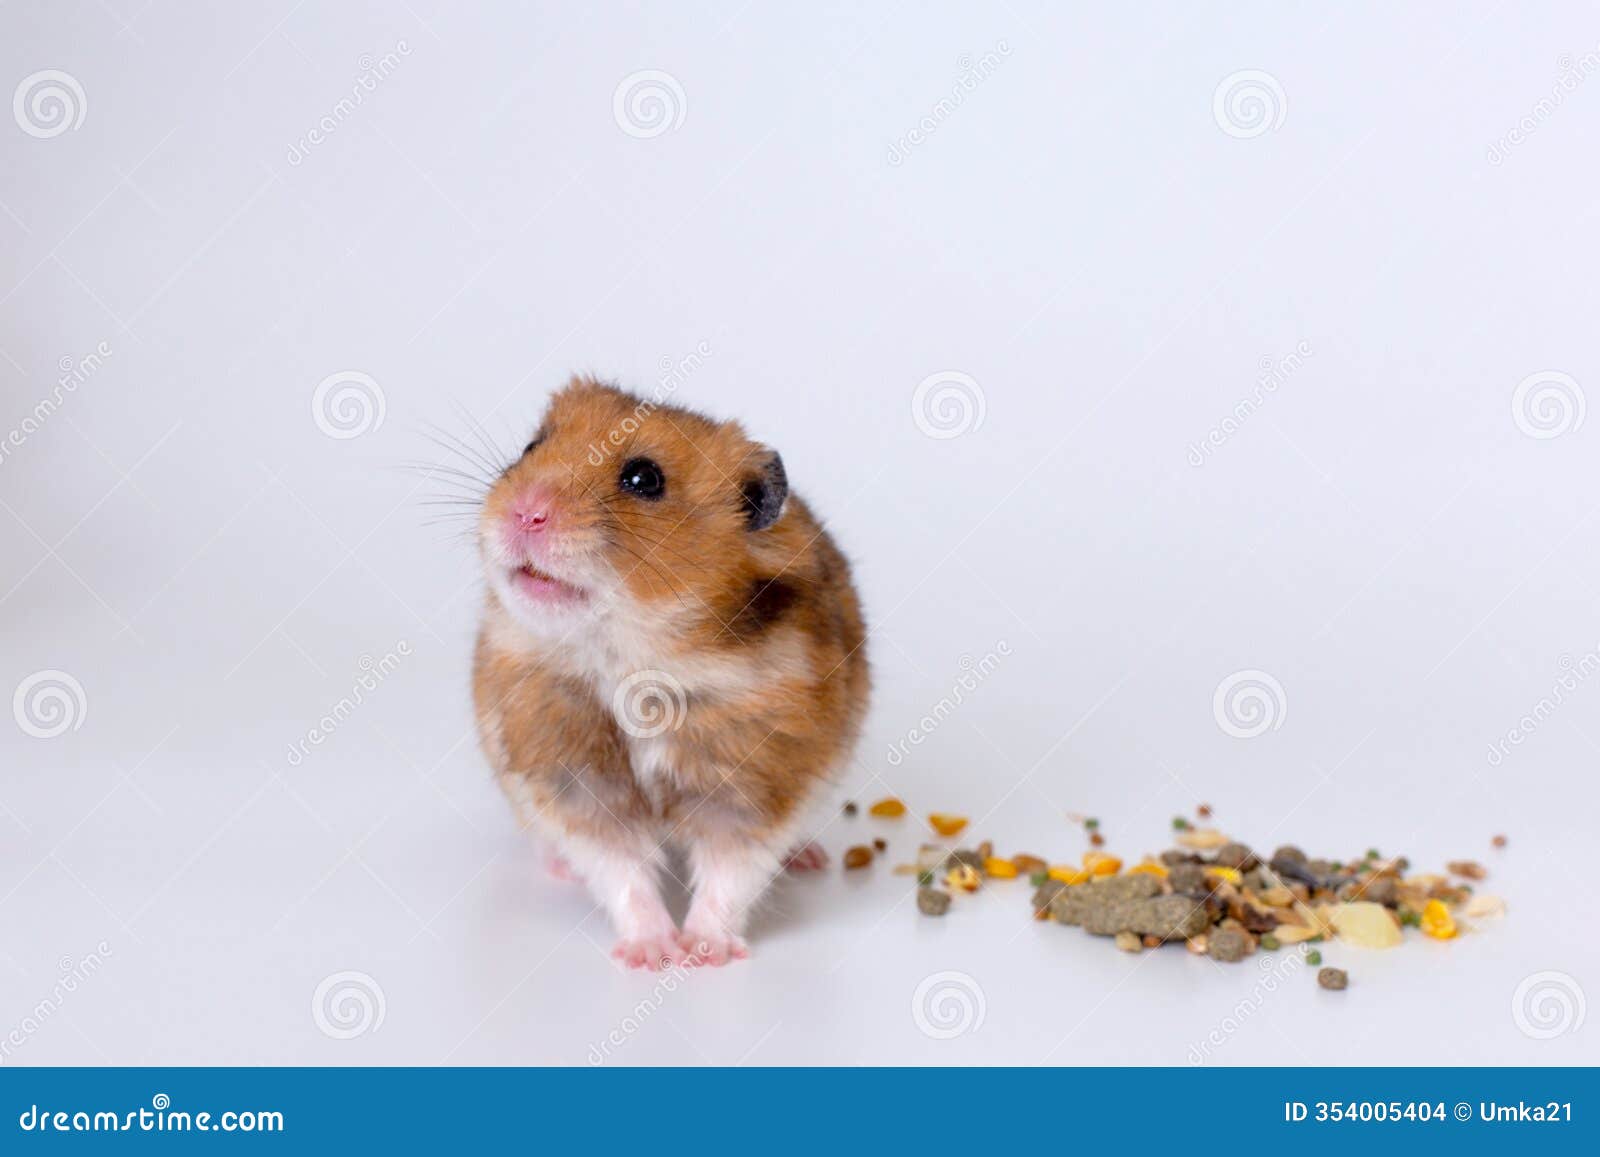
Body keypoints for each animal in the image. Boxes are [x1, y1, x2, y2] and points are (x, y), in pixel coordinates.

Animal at [472, 376, 869, 969]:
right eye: (531, 447)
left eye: (644, 479)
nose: (524, 513)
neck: (633, 659)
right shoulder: (577, 784)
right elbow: (621, 871)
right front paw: (651, 955)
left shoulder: (756, 784)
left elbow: (729, 873)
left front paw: (703, 954)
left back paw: (809, 858)